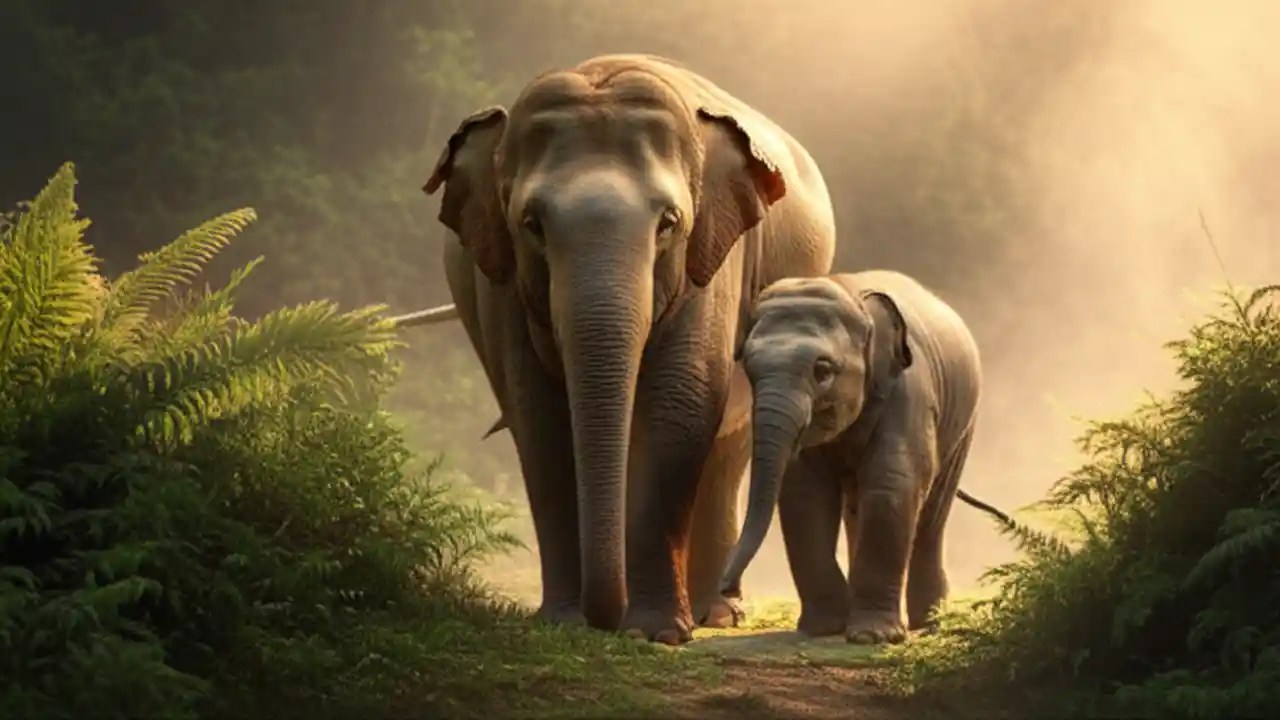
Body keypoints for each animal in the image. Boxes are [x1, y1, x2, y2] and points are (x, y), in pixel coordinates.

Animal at [422, 54, 837, 644]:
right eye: (532, 225)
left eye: (668, 224)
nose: (607, 617)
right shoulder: (498, 283)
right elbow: (538, 417)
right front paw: (567, 624)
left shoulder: (715, 260)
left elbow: (678, 405)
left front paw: (654, 632)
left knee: (728, 449)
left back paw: (717, 615)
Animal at [717, 270, 1010, 645]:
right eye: (749, 370)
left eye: (823, 370)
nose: (728, 589)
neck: (851, 295)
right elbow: (804, 496)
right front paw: (823, 629)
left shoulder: (909, 393)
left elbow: (891, 485)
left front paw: (873, 637)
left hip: (963, 426)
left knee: (932, 517)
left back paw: (929, 624)